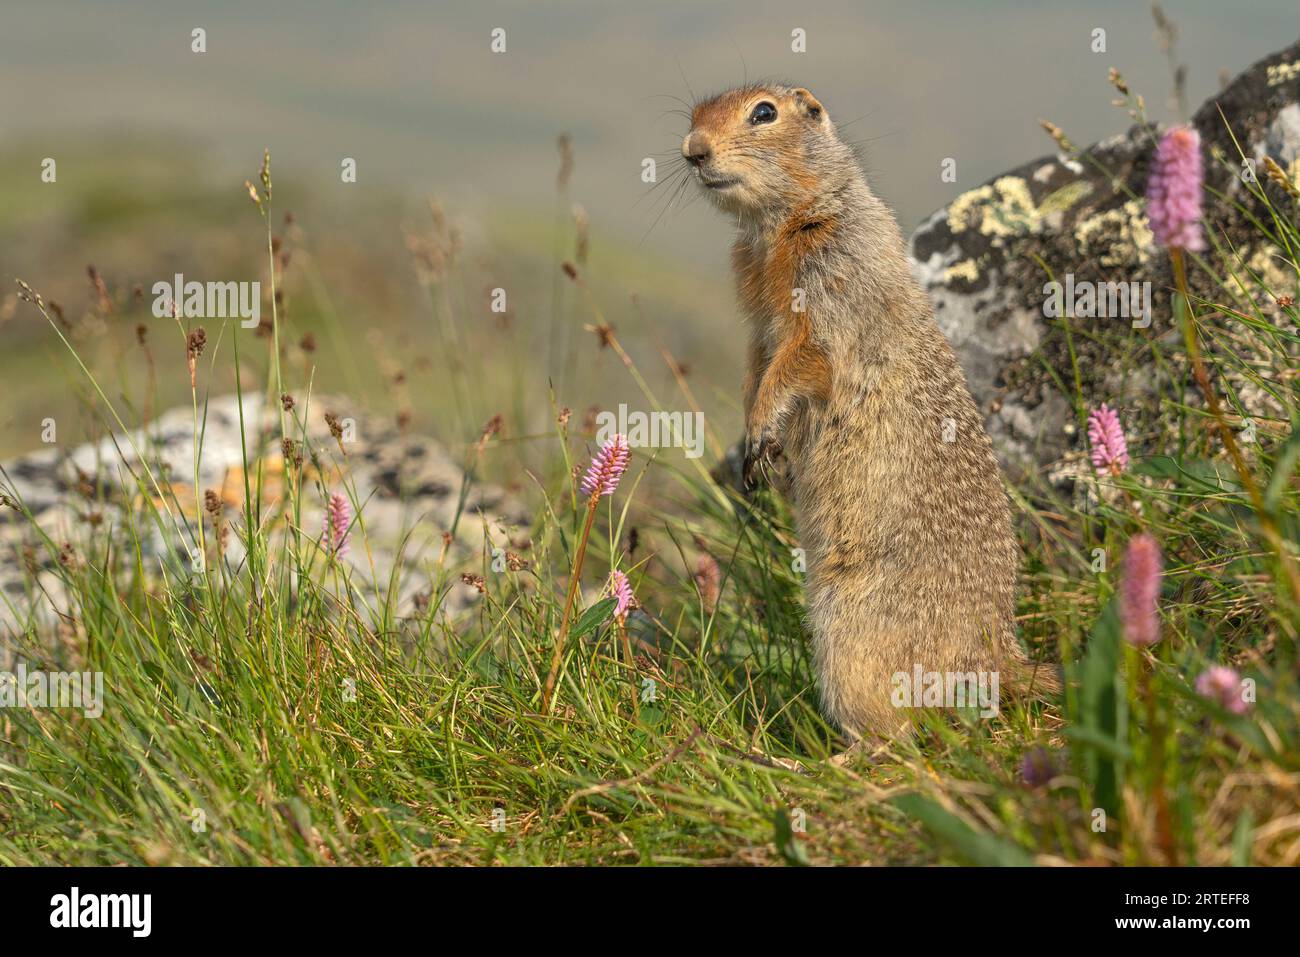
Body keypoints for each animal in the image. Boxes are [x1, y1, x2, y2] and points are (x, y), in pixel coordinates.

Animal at [682, 84, 1057, 743]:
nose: (691, 150)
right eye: (695, 115)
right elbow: (757, 361)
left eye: (763, 112)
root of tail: (1000, 655)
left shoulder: (831, 273)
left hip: (850, 632)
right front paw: (762, 443)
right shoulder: (755, 312)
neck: (773, 229)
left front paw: (759, 436)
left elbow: (806, 355)